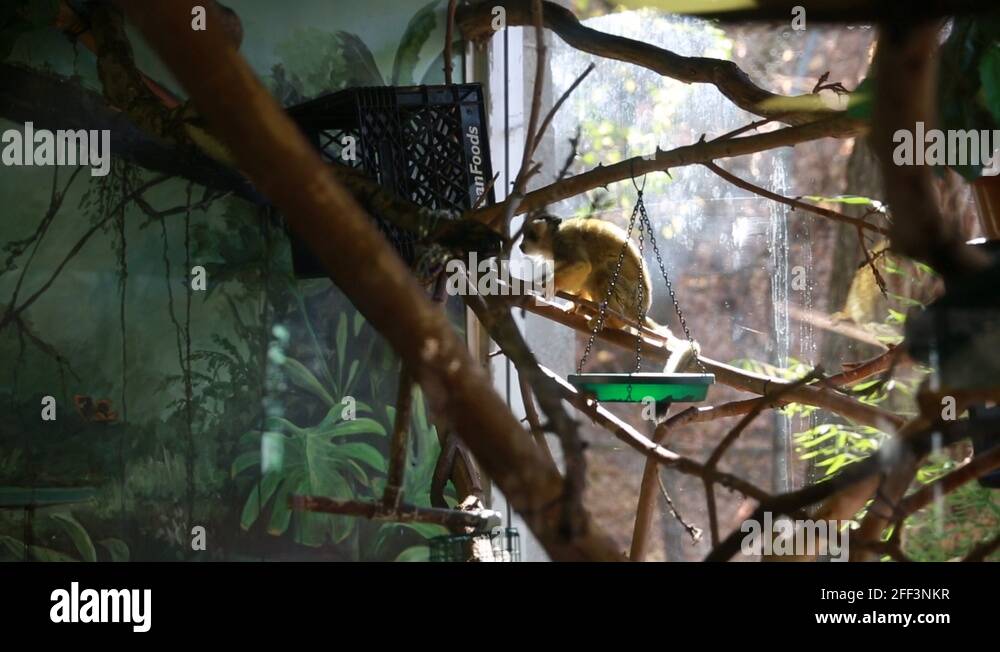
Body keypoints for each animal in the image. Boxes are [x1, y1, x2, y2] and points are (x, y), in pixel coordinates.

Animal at [519, 214, 701, 374]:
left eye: (530, 235)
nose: (521, 246)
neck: (552, 238)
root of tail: (640, 312)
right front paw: (575, 302)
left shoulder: (564, 241)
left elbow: (582, 265)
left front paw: (550, 285)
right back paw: (587, 309)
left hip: (631, 296)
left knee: (603, 270)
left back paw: (610, 319)